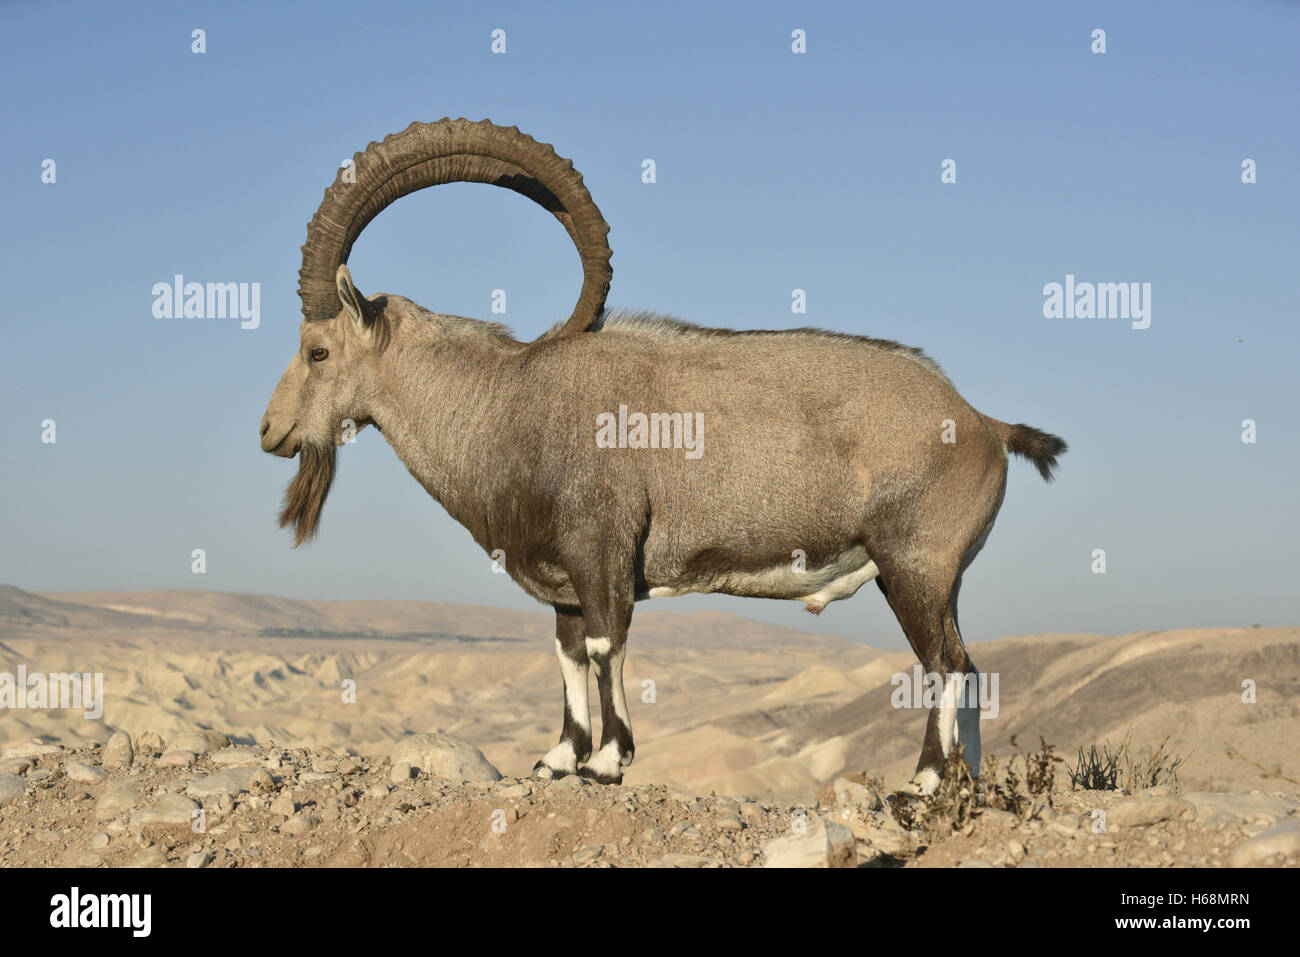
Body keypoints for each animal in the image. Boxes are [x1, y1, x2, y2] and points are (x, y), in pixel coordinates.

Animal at [260, 118, 1066, 793]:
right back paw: (968, 781)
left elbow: (605, 645)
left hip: (914, 567)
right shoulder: (562, 578)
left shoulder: (602, 551)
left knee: (944, 664)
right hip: (939, 580)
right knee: (970, 664)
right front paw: (560, 757)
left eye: (318, 350)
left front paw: (609, 760)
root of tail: (984, 422)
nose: (271, 432)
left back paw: (925, 779)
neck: (508, 403)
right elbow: (568, 652)